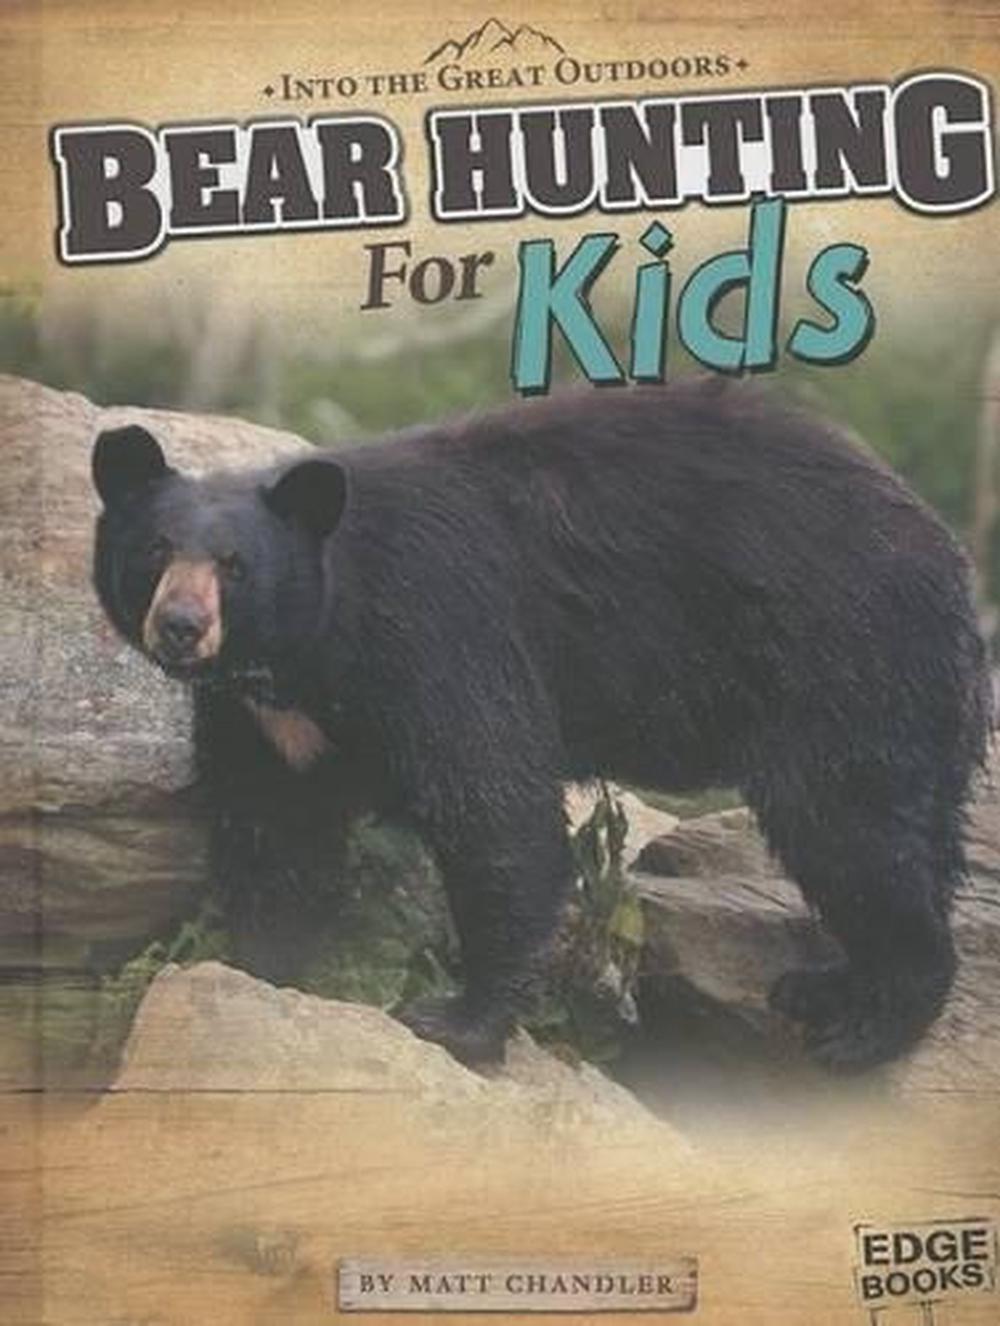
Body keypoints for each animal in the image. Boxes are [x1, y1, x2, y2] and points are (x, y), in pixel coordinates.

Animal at [90, 377, 991, 1071]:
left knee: (849, 827)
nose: (180, 627)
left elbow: (495, 808)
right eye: (155, 552)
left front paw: (456, 1020)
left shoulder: (438, 633)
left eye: (235, 566)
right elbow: (273, 831)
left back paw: (866, 1022)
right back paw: (828, 986)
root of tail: (946, 554)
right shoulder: (262, 720)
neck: (307, 650)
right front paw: (264, 969)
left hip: (839, 655)